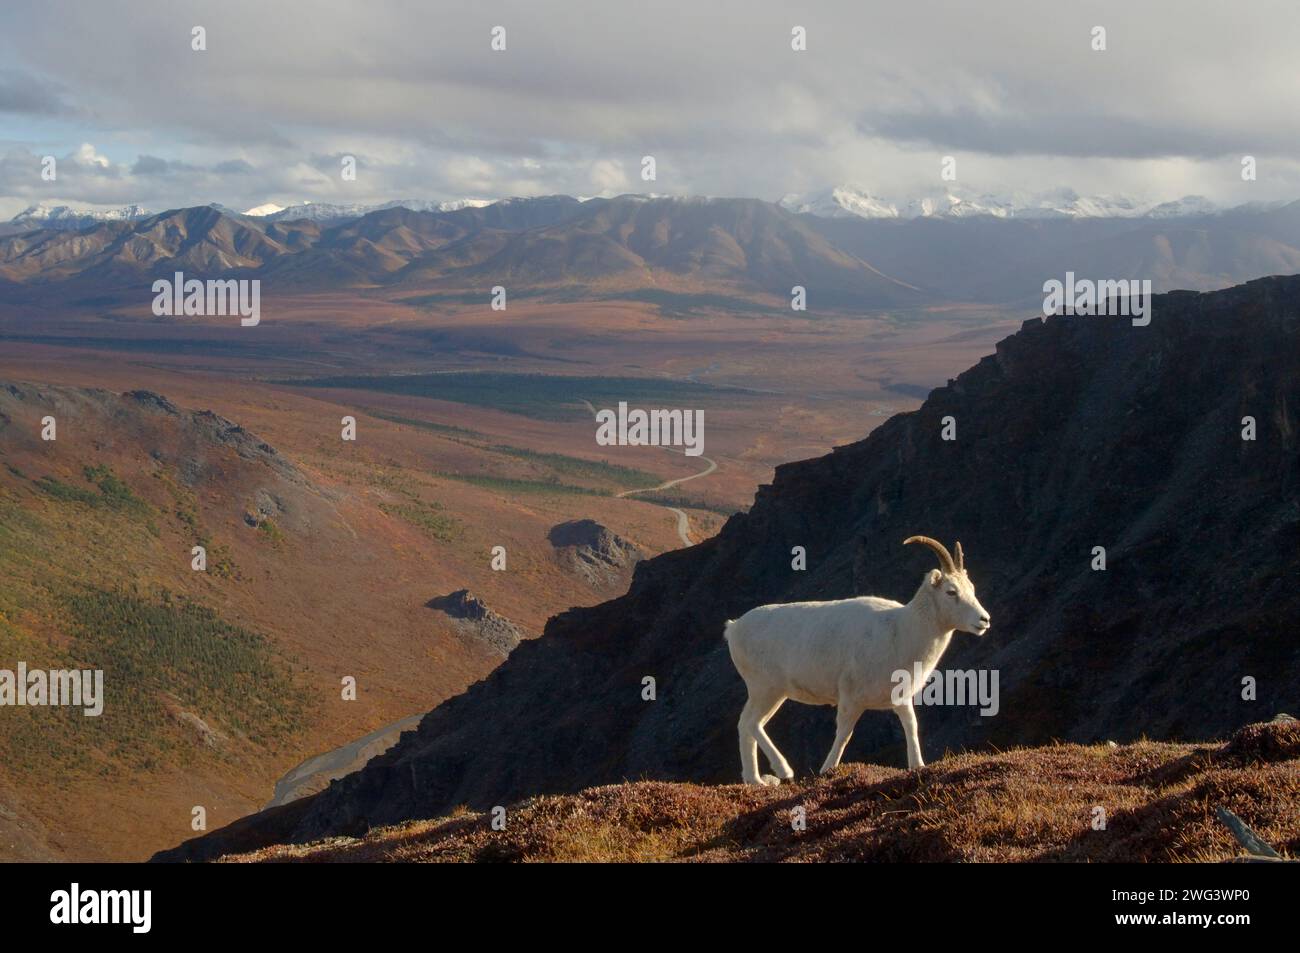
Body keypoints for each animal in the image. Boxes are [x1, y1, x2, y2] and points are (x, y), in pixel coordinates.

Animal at [724, 536, 991, 785]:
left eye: (971, 588)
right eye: (951, 591)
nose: (984, 620)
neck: (900, 630)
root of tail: (733, 628)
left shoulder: (901, 699)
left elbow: (911, 727)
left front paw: (918, 766)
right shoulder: (850, 699)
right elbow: (844, 734)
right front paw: (826, 770)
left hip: (771, 694)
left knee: (745, 724)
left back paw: (755, 781)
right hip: (767, 689)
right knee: (752, 723)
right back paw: (783, 770)